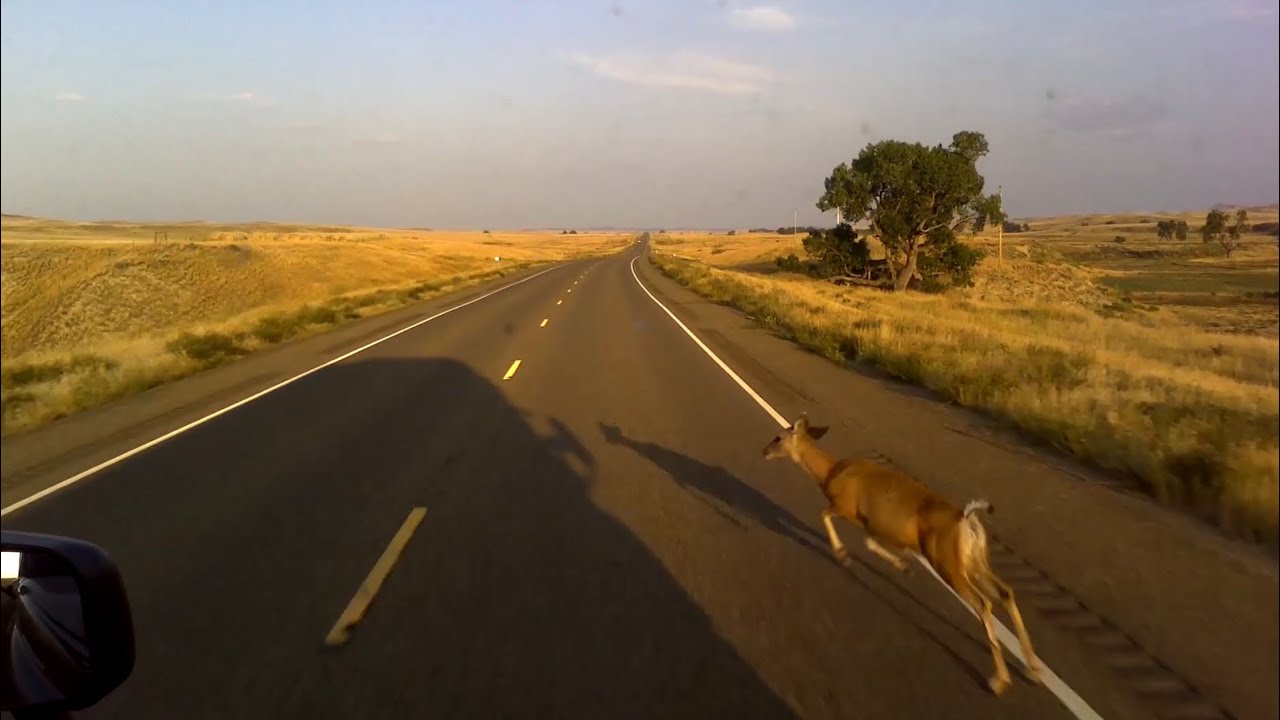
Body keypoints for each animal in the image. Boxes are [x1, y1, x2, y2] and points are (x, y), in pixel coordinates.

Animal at [762, 414, 1044, 696]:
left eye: (778, 437)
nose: (764, 451)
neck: (830, 473)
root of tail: (967, 519)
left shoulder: (846, 508)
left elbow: (825, 515)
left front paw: (842, 554)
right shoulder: (873, 524)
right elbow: (869, 544)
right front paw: (902, 565)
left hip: (946, 560)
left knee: (983, 602)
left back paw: (1000, 680)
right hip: (975, 561)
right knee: (1005, 592)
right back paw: (1032, 669)